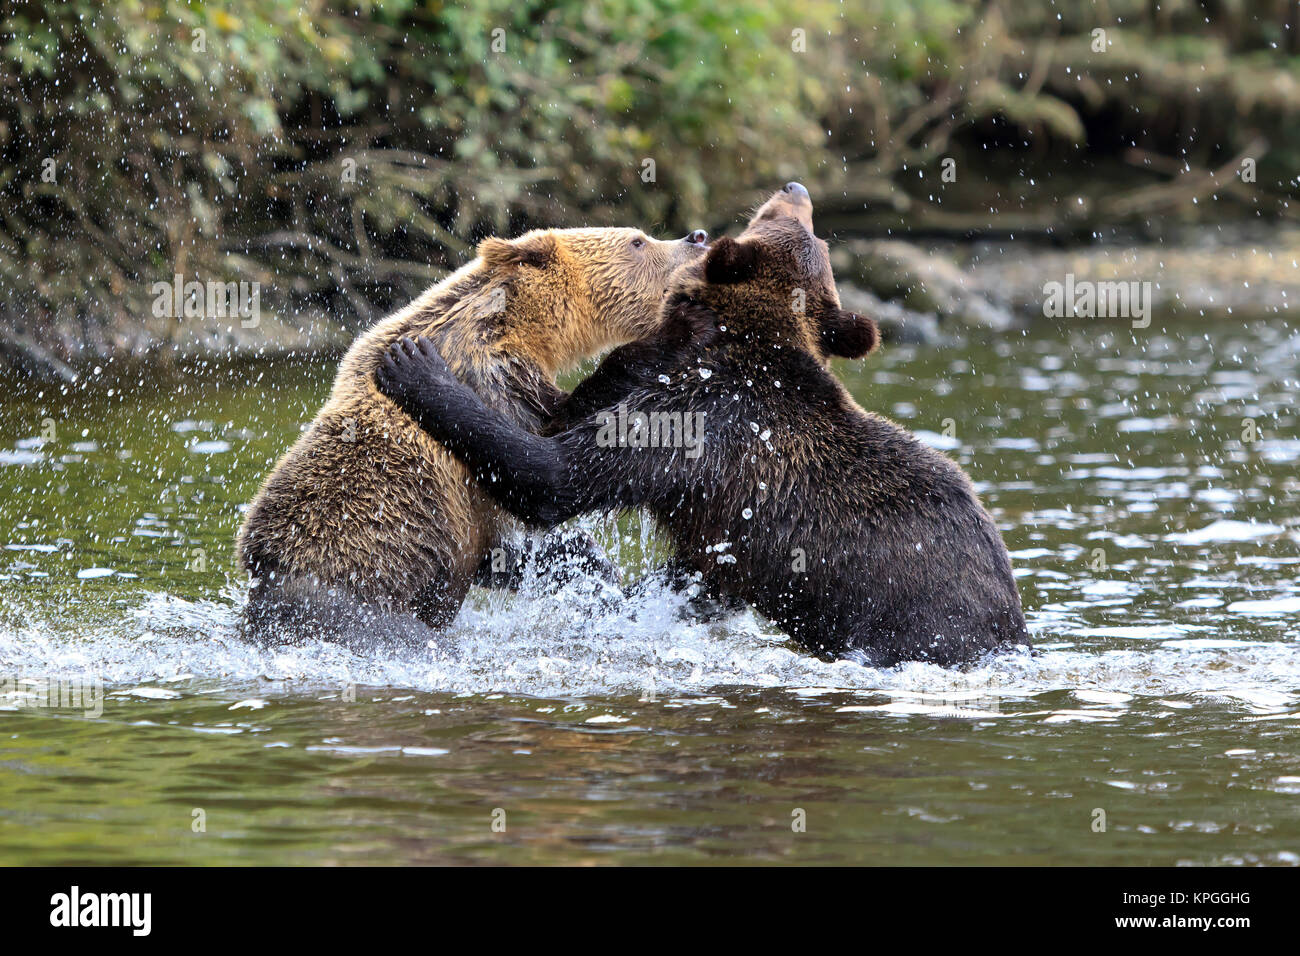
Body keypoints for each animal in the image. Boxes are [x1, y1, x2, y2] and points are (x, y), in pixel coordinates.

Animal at [239, 225, 717, 647]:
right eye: (637, 240)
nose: (697, 236)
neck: (517, 328)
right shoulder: (495, 383)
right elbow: (548, 442)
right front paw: (677, 331)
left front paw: (587, 561)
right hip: (352, 598)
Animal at [374, 184, 1024, 665]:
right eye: (808, 224)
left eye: (784, 216)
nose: (797, 186)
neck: (729, 342)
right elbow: (572, 408)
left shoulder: (705, 419)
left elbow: (558, 472)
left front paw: (414, 369)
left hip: (912, 615)